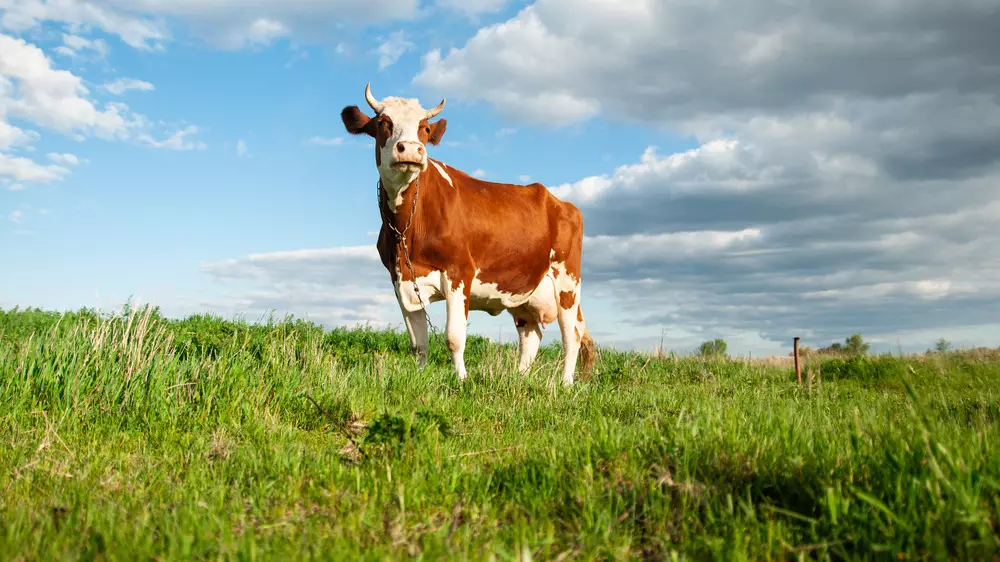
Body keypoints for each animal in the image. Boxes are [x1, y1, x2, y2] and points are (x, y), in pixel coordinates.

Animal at [344, 81, 592, 382]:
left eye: (424, 128)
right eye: (383, 123)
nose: (411, 150)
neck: (407, 227)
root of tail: (561, 203)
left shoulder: (459, 272)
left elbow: (454, 337)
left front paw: (461, 379)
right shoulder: (399, 278)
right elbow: (418, 343)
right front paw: (419, 377)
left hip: (567, 280)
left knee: (572, 334)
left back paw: (566, 383)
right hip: (524, 291)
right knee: (531, 335)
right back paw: (520, 378)